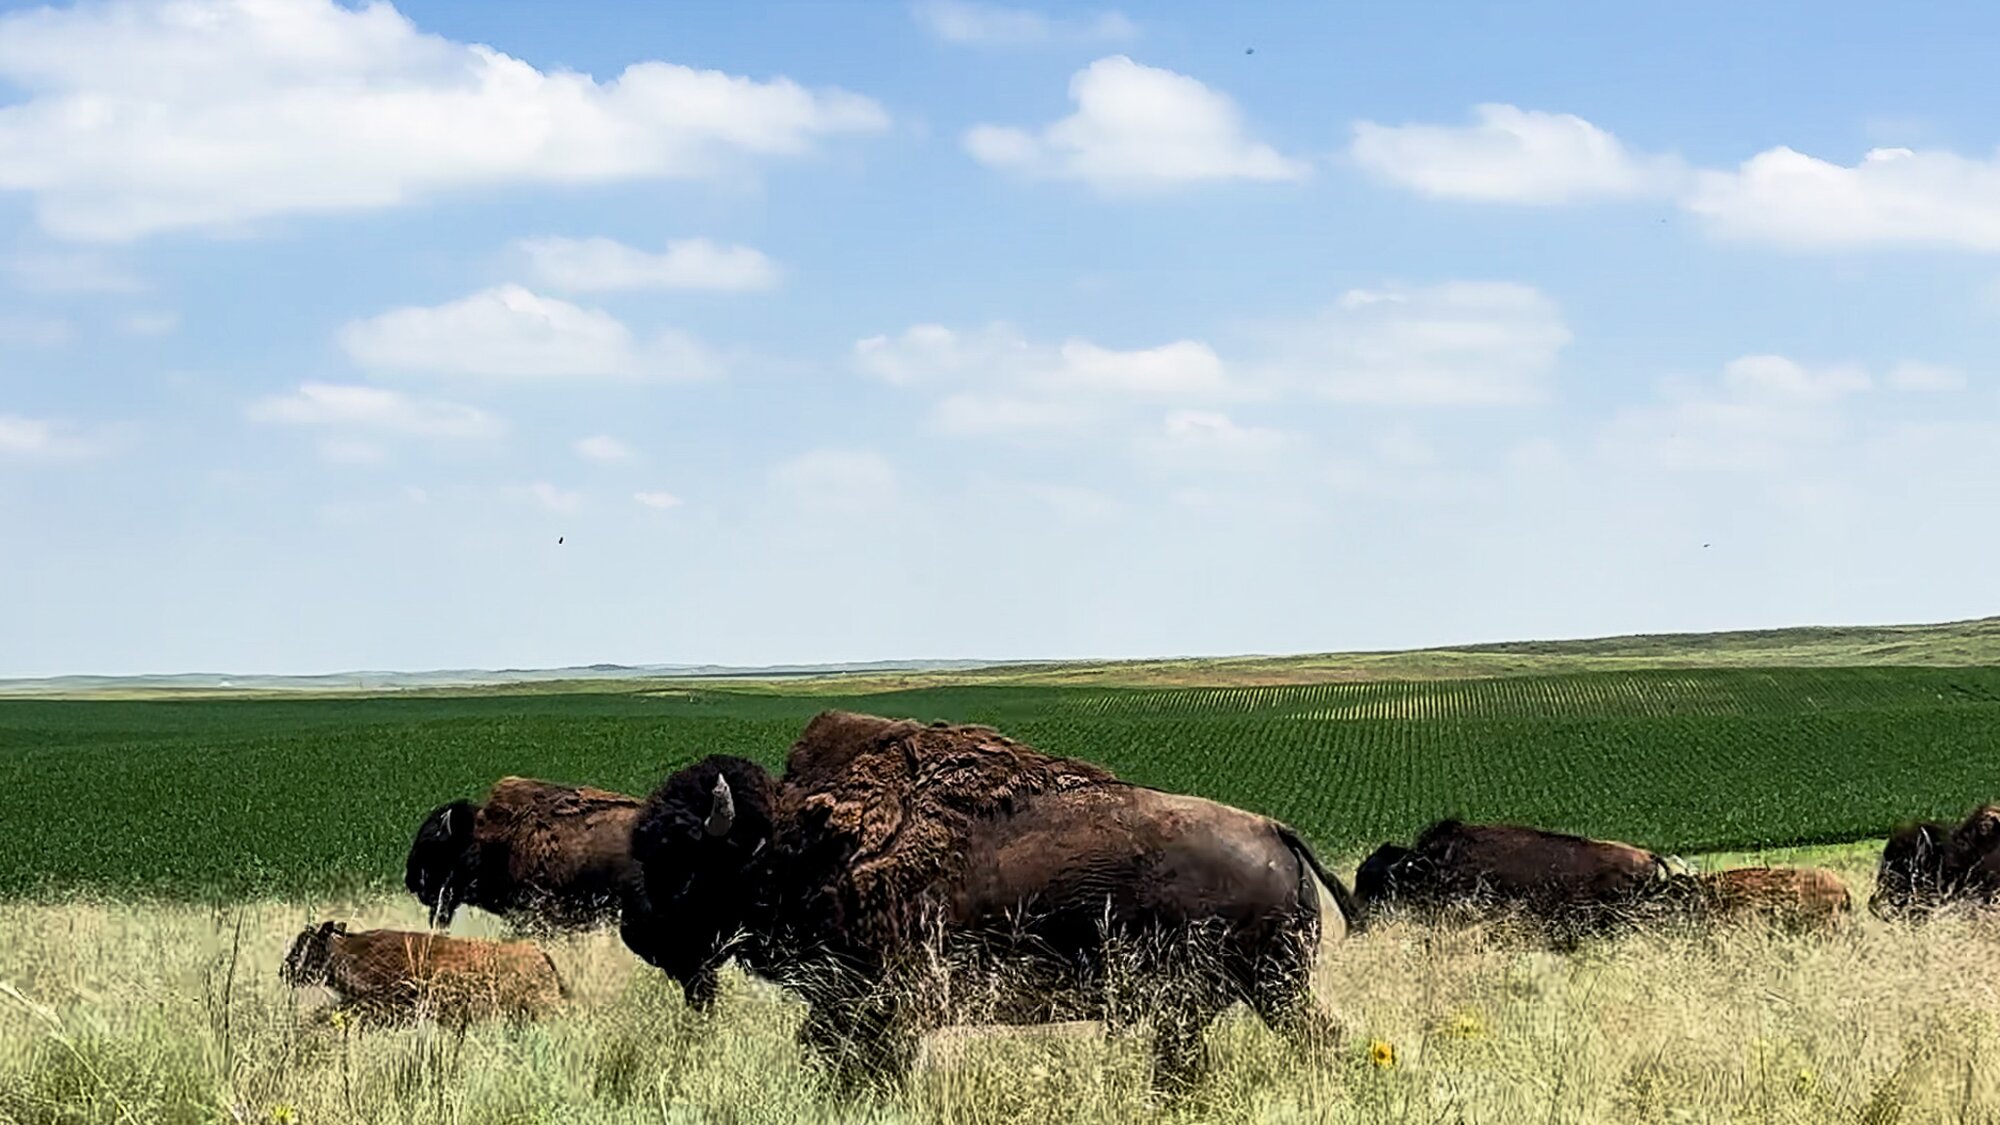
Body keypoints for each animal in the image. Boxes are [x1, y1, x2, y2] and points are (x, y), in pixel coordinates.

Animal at [620, 710, 1363, 1090]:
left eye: (683, 862)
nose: (637, 933)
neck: (792, 845)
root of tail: (1273, 829)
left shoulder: (879, 1004)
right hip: (1223, 1003)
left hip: (1270, 989)